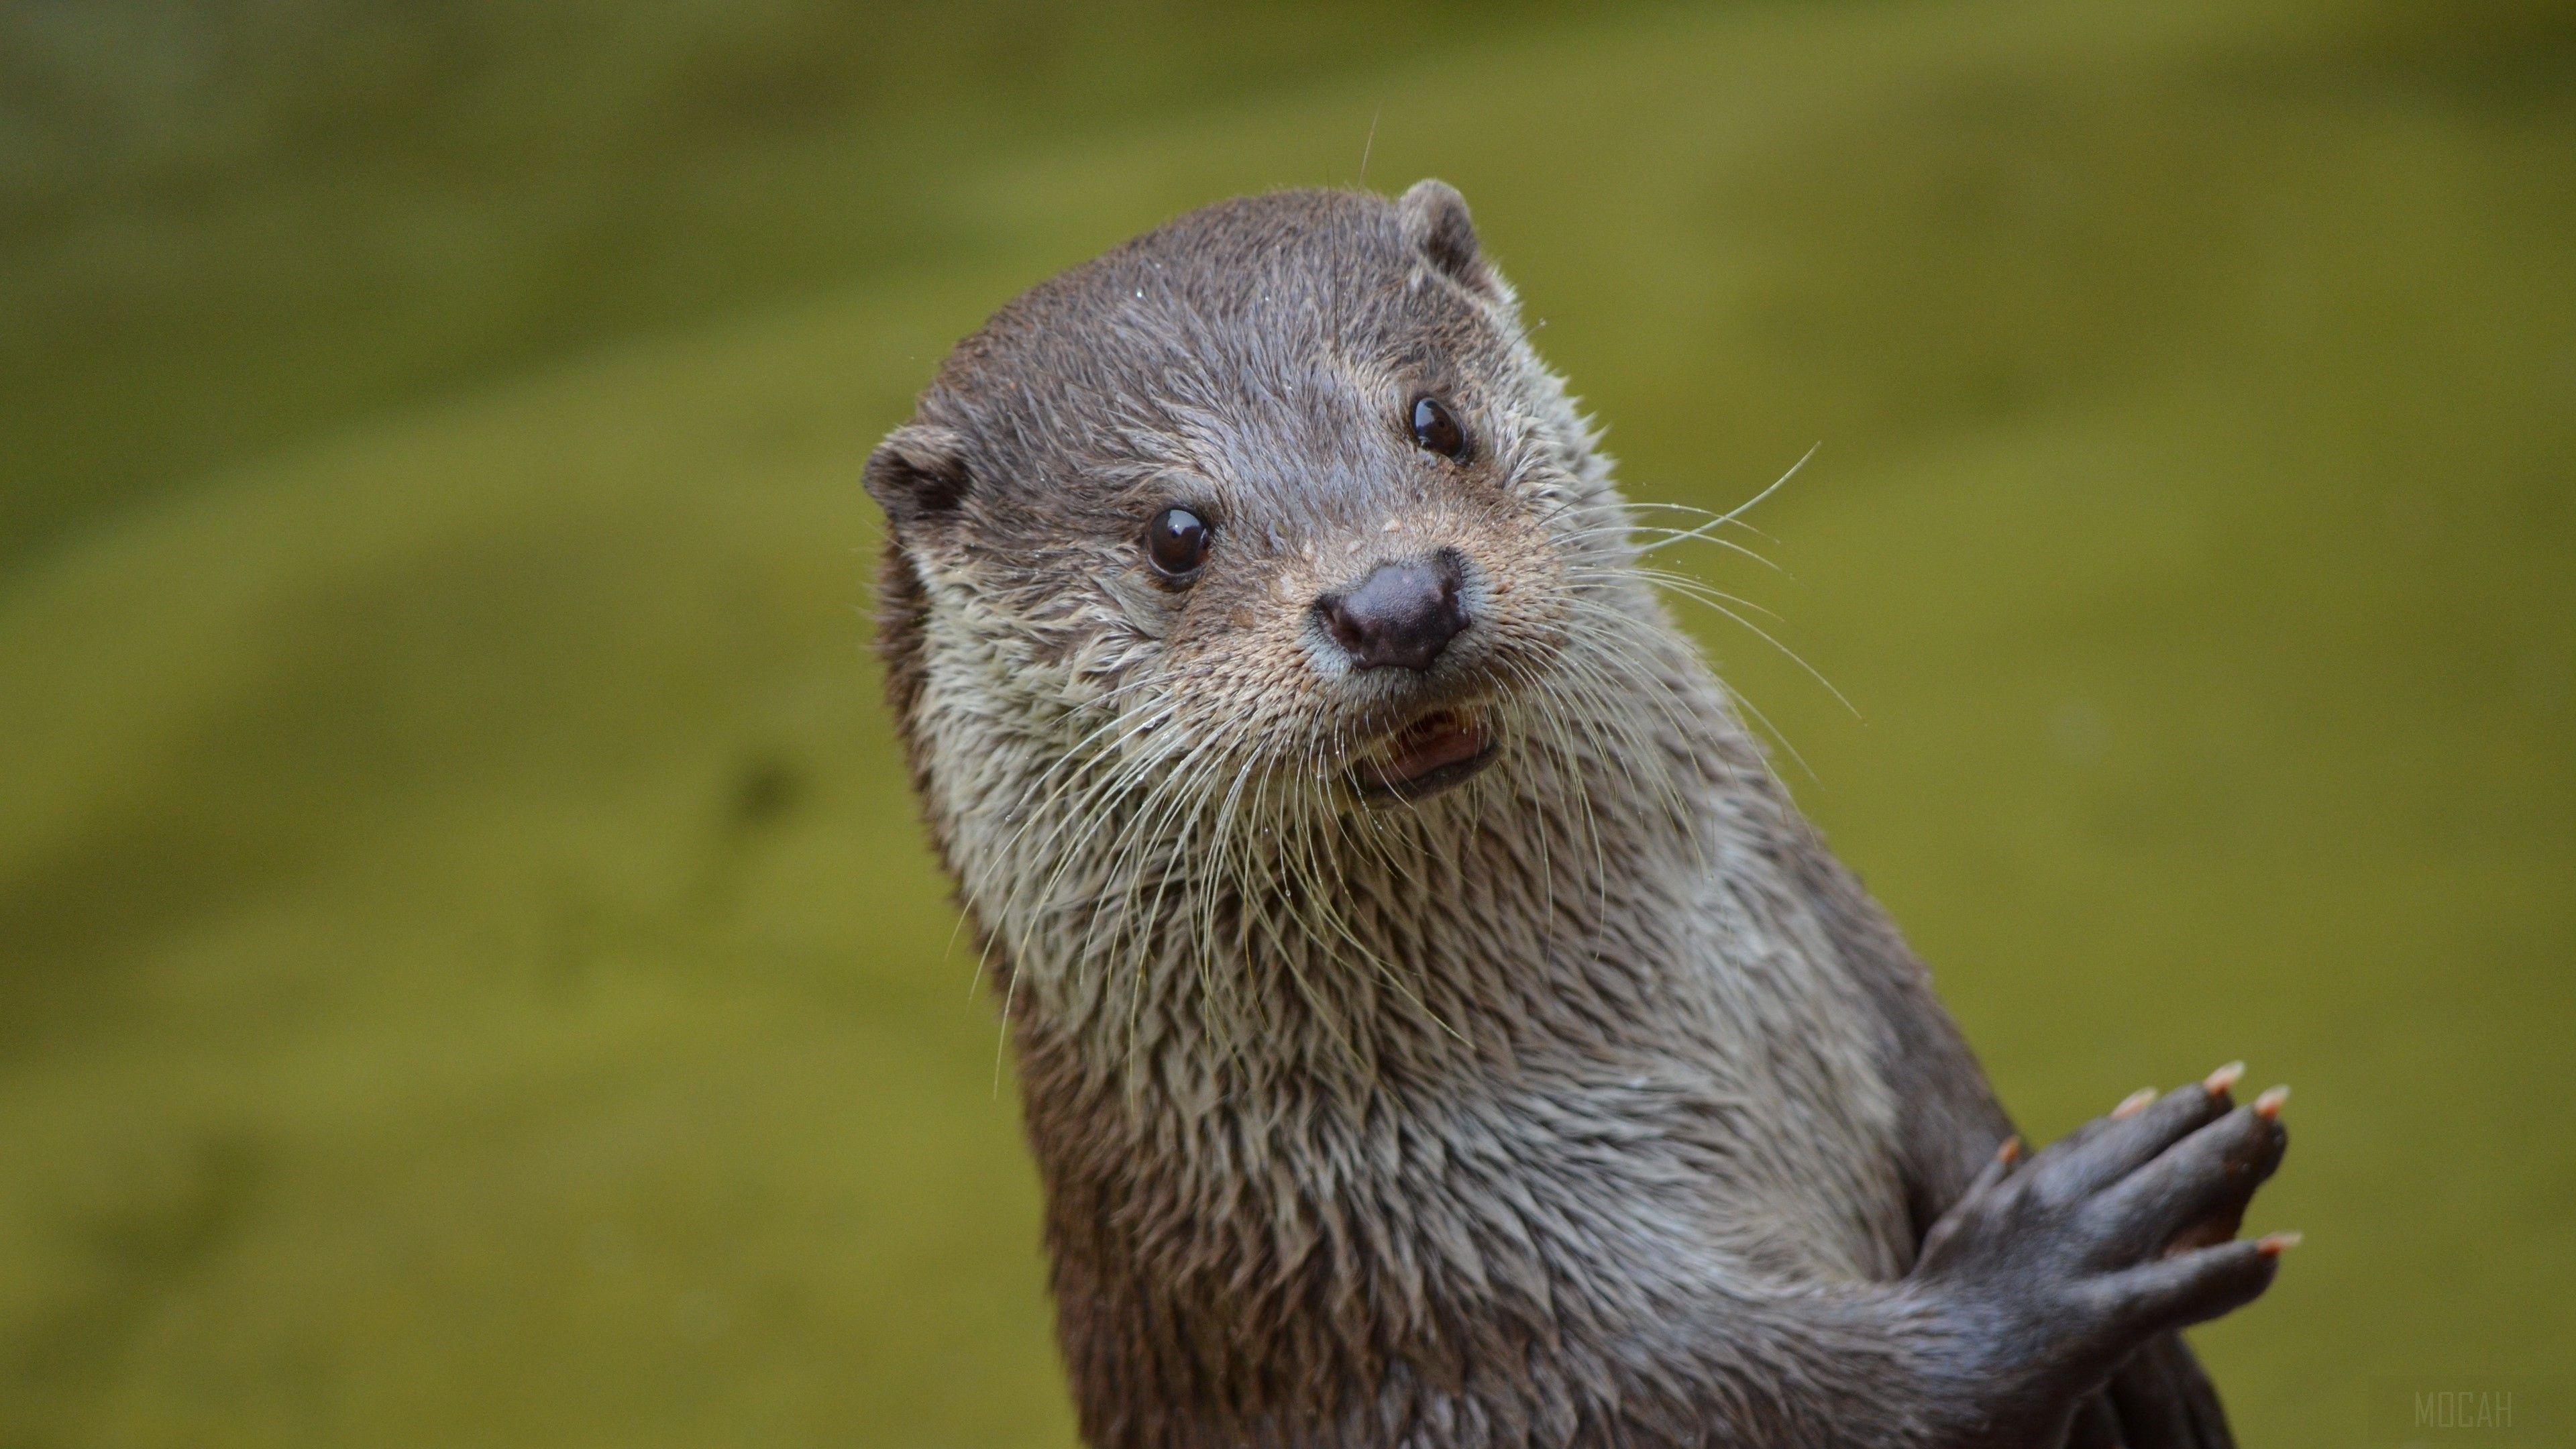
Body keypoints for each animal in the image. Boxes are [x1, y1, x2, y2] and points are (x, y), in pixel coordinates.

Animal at [864, 182, 2291, 1448]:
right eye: (1174, 532)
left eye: (1435, 420)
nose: (1395, 598)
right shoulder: (1422, 1323)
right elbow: (1761, 1398)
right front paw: (2059, 1264)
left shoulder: (1843, 945)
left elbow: (1941, 1067)